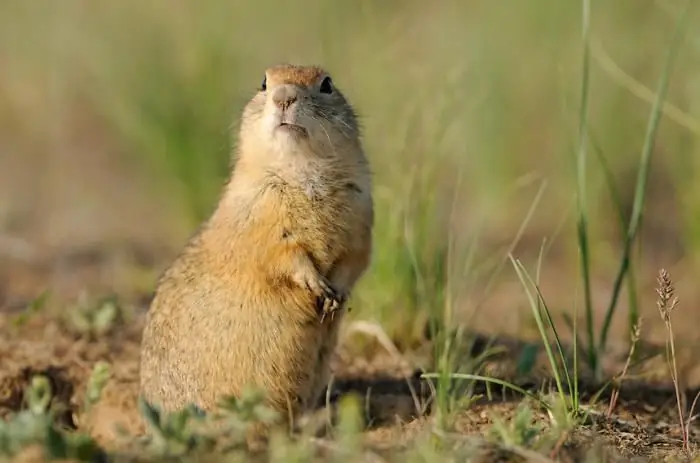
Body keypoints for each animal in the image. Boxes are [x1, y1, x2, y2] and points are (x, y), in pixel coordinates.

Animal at [139, 64, 374, 424]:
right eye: (264, 83)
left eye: (327, 84)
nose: (283, 97)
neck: (301, 168)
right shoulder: (261, 211)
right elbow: (282, 253)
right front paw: (315, 284)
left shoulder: (361, 212)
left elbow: (355, 257)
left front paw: (336, 295)